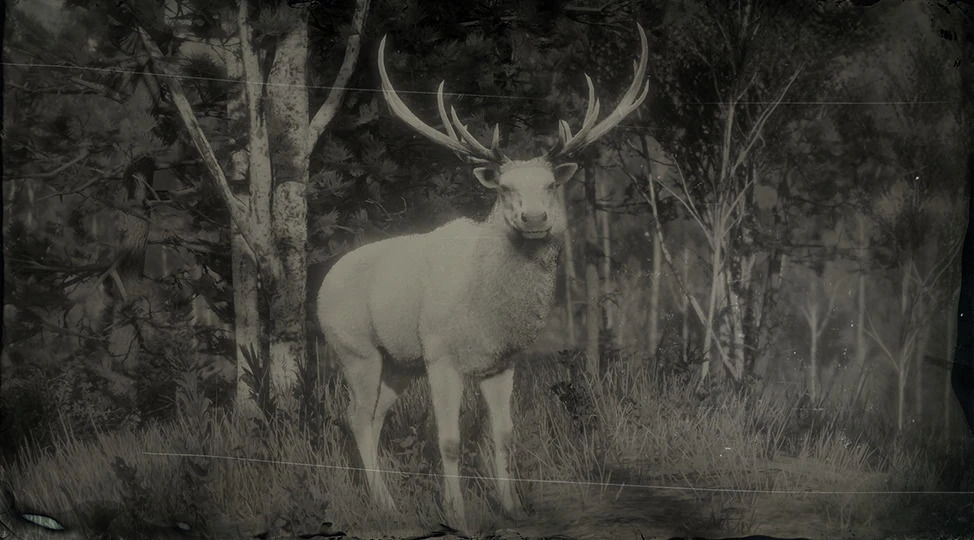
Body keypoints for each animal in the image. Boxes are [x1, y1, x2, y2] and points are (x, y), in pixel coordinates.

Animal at [316, 24, 649, 528]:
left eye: (550, 185)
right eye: (505, 188)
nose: (534, 219)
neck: (489, 314)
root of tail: (321, 286)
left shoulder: (502, 362)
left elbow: (505, 434)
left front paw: (510, 505)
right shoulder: (441, 355)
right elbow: (449, 441)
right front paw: (456, 512)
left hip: (398, 363)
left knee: (373, 418)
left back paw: (387, 498)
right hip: (356, 350)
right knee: (355, 417)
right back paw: (383, 503)